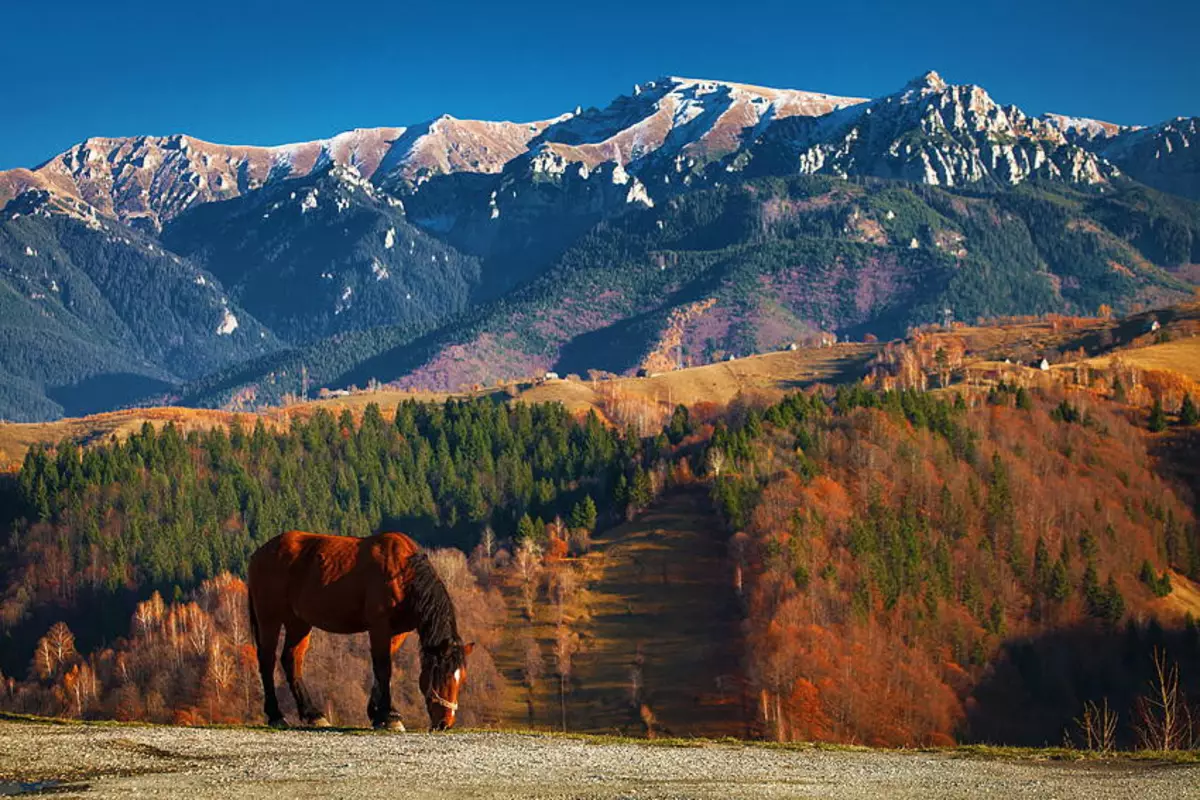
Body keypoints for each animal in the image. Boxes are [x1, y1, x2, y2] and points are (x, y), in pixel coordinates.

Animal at [248, 532, 472, 734]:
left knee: (291, 660)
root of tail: (259, 554)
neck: (403, 574)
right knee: (267, 660)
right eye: (441, 676)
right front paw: (390, 716)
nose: (445, 723)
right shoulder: (379, 627)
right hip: (269, 618)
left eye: (461, 679)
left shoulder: (397, 633)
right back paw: (276, 715)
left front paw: (376, 714)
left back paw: (313, 714)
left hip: (299, 622)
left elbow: (381, 669)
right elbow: (383, 668)